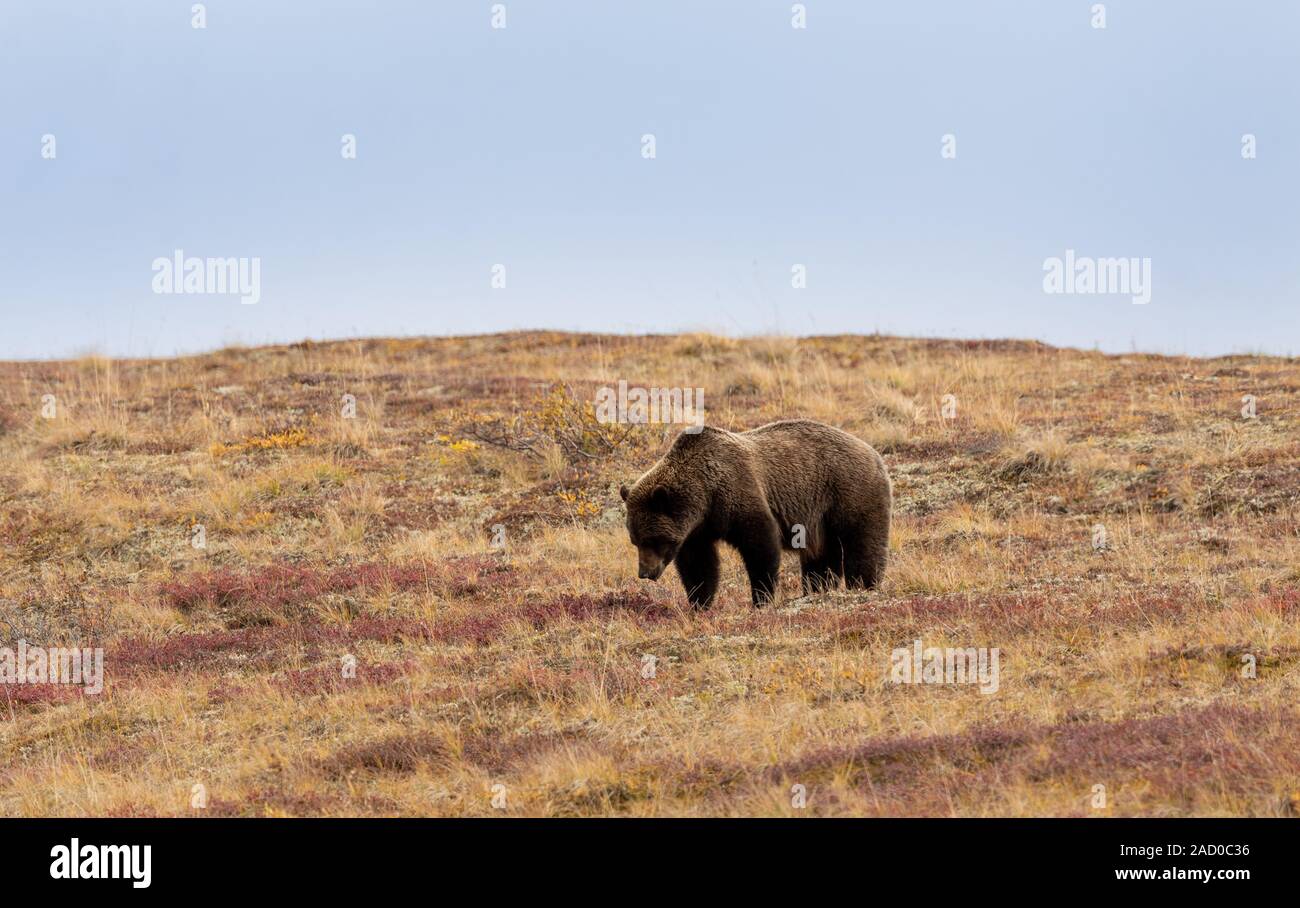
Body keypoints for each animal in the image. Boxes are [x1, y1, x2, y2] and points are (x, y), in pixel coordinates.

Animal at [619, 419, 891, 609]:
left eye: (653, 540)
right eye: (635, 540)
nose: (645, 573)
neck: (705, 495)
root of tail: (875, 454)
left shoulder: (737, 493)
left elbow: (760, 544)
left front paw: (761, 599)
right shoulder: (697, 530)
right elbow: (698, 564)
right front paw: (699, 603)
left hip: (849, 494)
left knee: (863, 546)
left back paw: (863, 587)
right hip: (820, 521)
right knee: (821, 560)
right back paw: (817, 590)